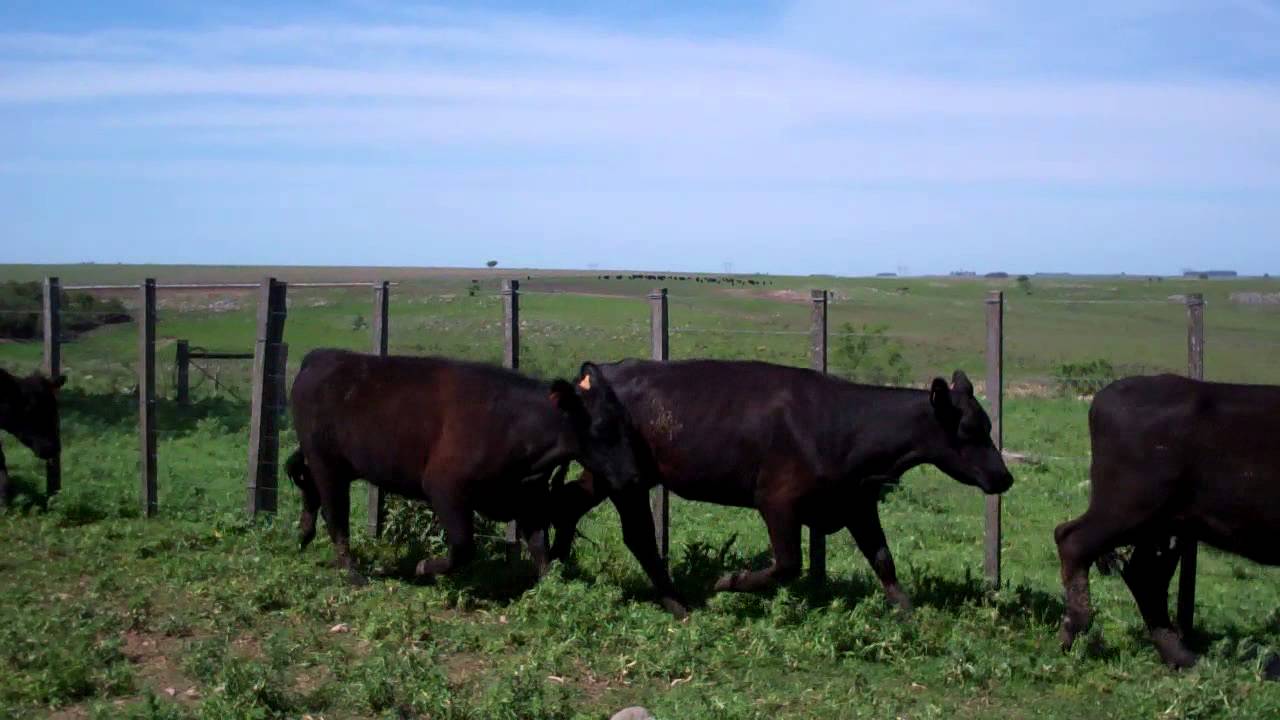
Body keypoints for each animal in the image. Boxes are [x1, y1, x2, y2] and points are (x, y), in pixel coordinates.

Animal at [285, 349, 640, 585]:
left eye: (626, 421)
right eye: (603, 426)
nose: (632, 475)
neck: (516, 424)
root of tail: (320, 357)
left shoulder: (527, 498)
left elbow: (540, 547)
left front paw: (551, 588)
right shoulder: (445, 489)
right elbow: (463, 545)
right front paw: (424, 567)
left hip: (332, 465)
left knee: (311, 492)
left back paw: (302, 536)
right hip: (327, 464)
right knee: (335, 514)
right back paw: (352, 572)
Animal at [547, 359, 1014, 618]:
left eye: (988, 425)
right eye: (970, 429)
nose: (1005, 478)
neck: (845, 426)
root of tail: (604, 372)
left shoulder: (857, 502)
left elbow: (884, 560)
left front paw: (909, 615)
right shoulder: (777, 501)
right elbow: (788, 564)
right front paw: (727, 582)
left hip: (608, 475)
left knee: (568, 503)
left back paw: (556, 565)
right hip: (627, 480)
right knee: (639, 535)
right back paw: (677, 602)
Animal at [1055, 374, 1280, 674]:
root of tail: (1106, 395)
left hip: (1162, 526)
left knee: (1145, 576)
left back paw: (1180, 655)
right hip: (1129, 509)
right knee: (1072, 539)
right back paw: (1074, 628)